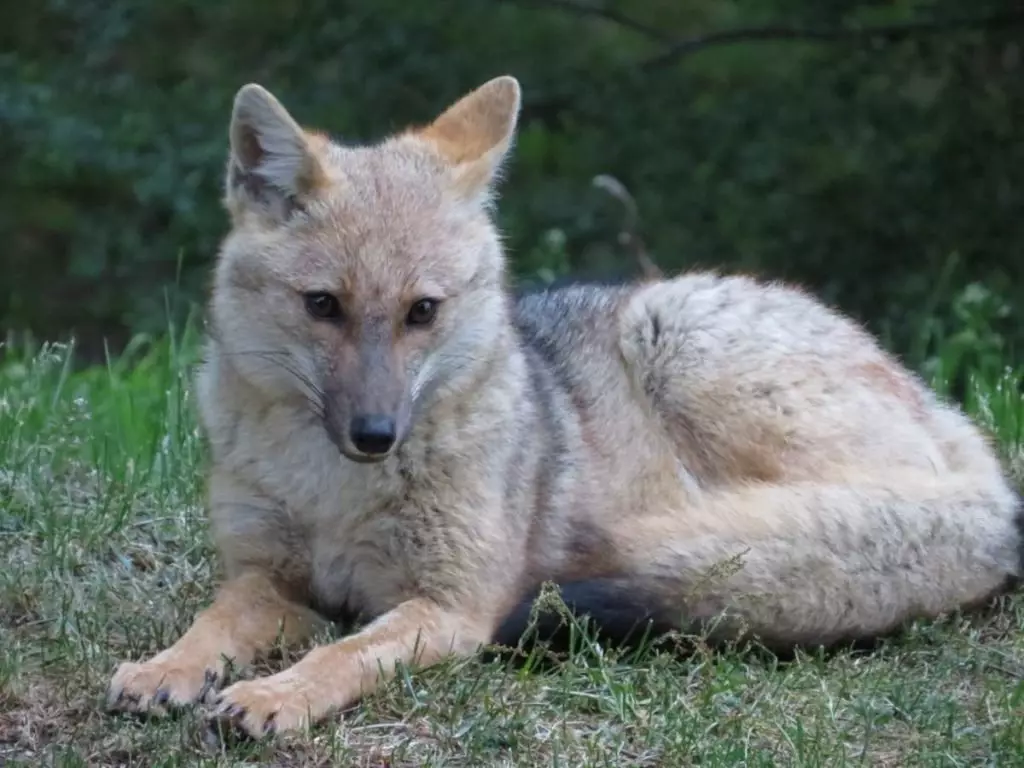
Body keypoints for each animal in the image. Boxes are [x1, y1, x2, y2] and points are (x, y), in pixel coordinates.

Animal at [105, 75, 1024, 741]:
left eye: (422, 312)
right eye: (323, 306)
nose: (375, 434)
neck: (334, 493)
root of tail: (972, 451)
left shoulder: (450, 606)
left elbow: (351, 653)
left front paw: (278, 694)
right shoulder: (268, 576)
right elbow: (213, 621)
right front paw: (165, 670)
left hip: (674, 330)